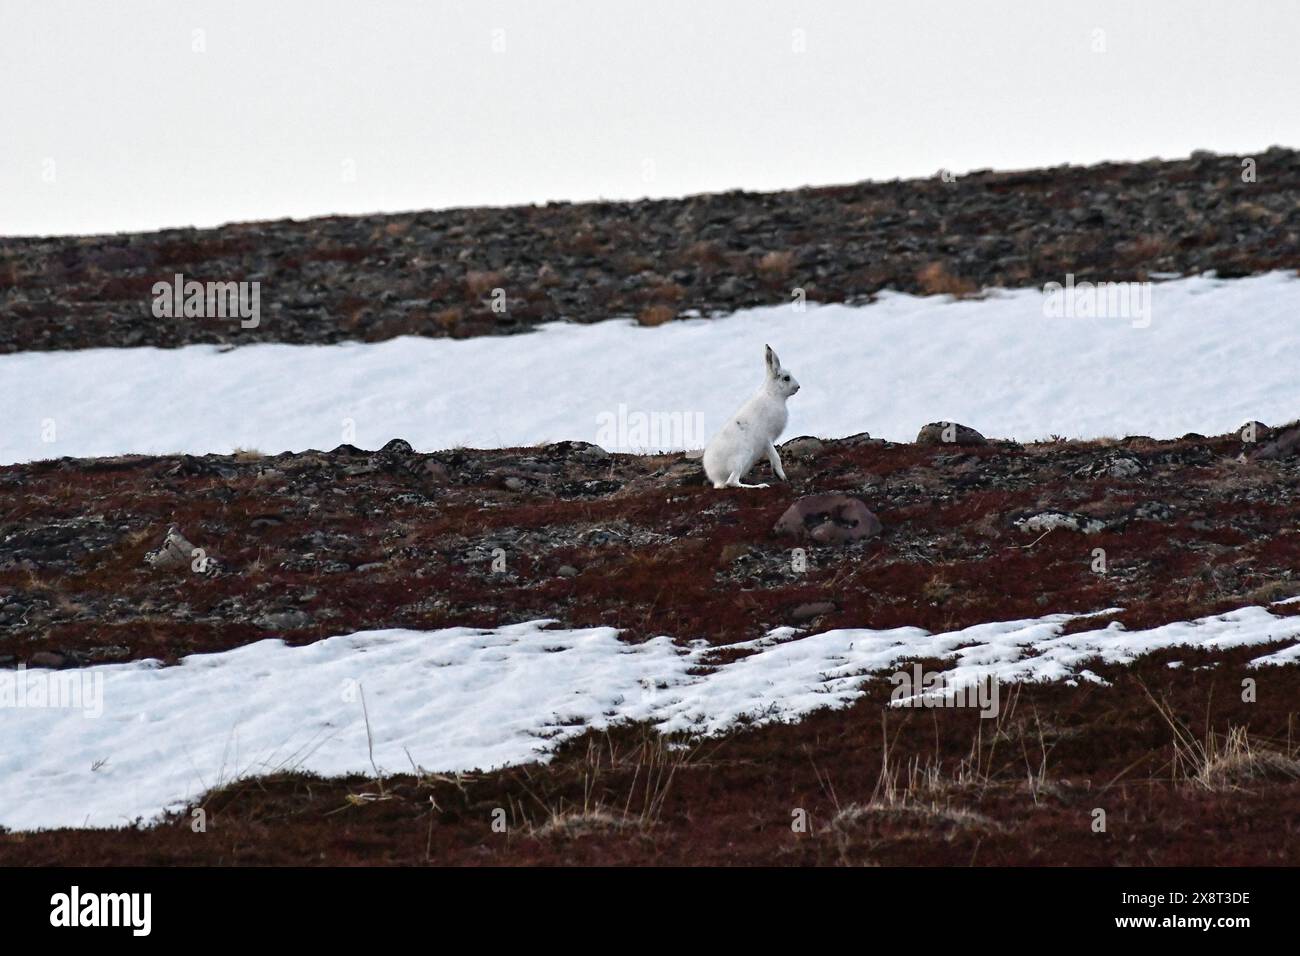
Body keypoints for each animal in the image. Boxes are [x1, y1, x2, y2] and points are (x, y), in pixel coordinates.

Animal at [703, 344, 800, 489]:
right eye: (786, 378)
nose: (798, 387)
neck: (774, 394)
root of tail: (715, 477)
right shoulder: (767, 439)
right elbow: (776, 458)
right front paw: (783, 477)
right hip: (742, 457)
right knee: (732, 482)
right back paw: (760, 485)